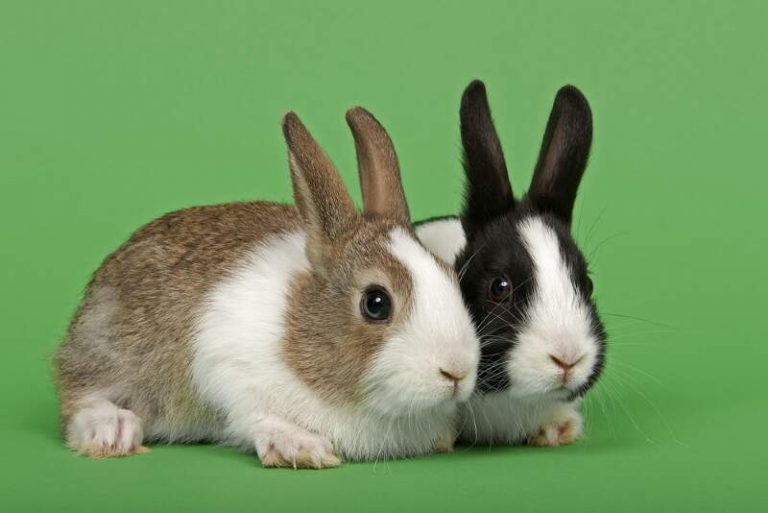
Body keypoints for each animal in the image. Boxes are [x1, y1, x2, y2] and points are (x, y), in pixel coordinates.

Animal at [55, 107, 480, 468]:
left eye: (450, 276)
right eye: (376, 303)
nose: (457, 372)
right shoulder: (225, 365)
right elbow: (254, 417)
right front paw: (302, 447)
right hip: (114, 350)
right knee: (79, 397)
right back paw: (113, 431)